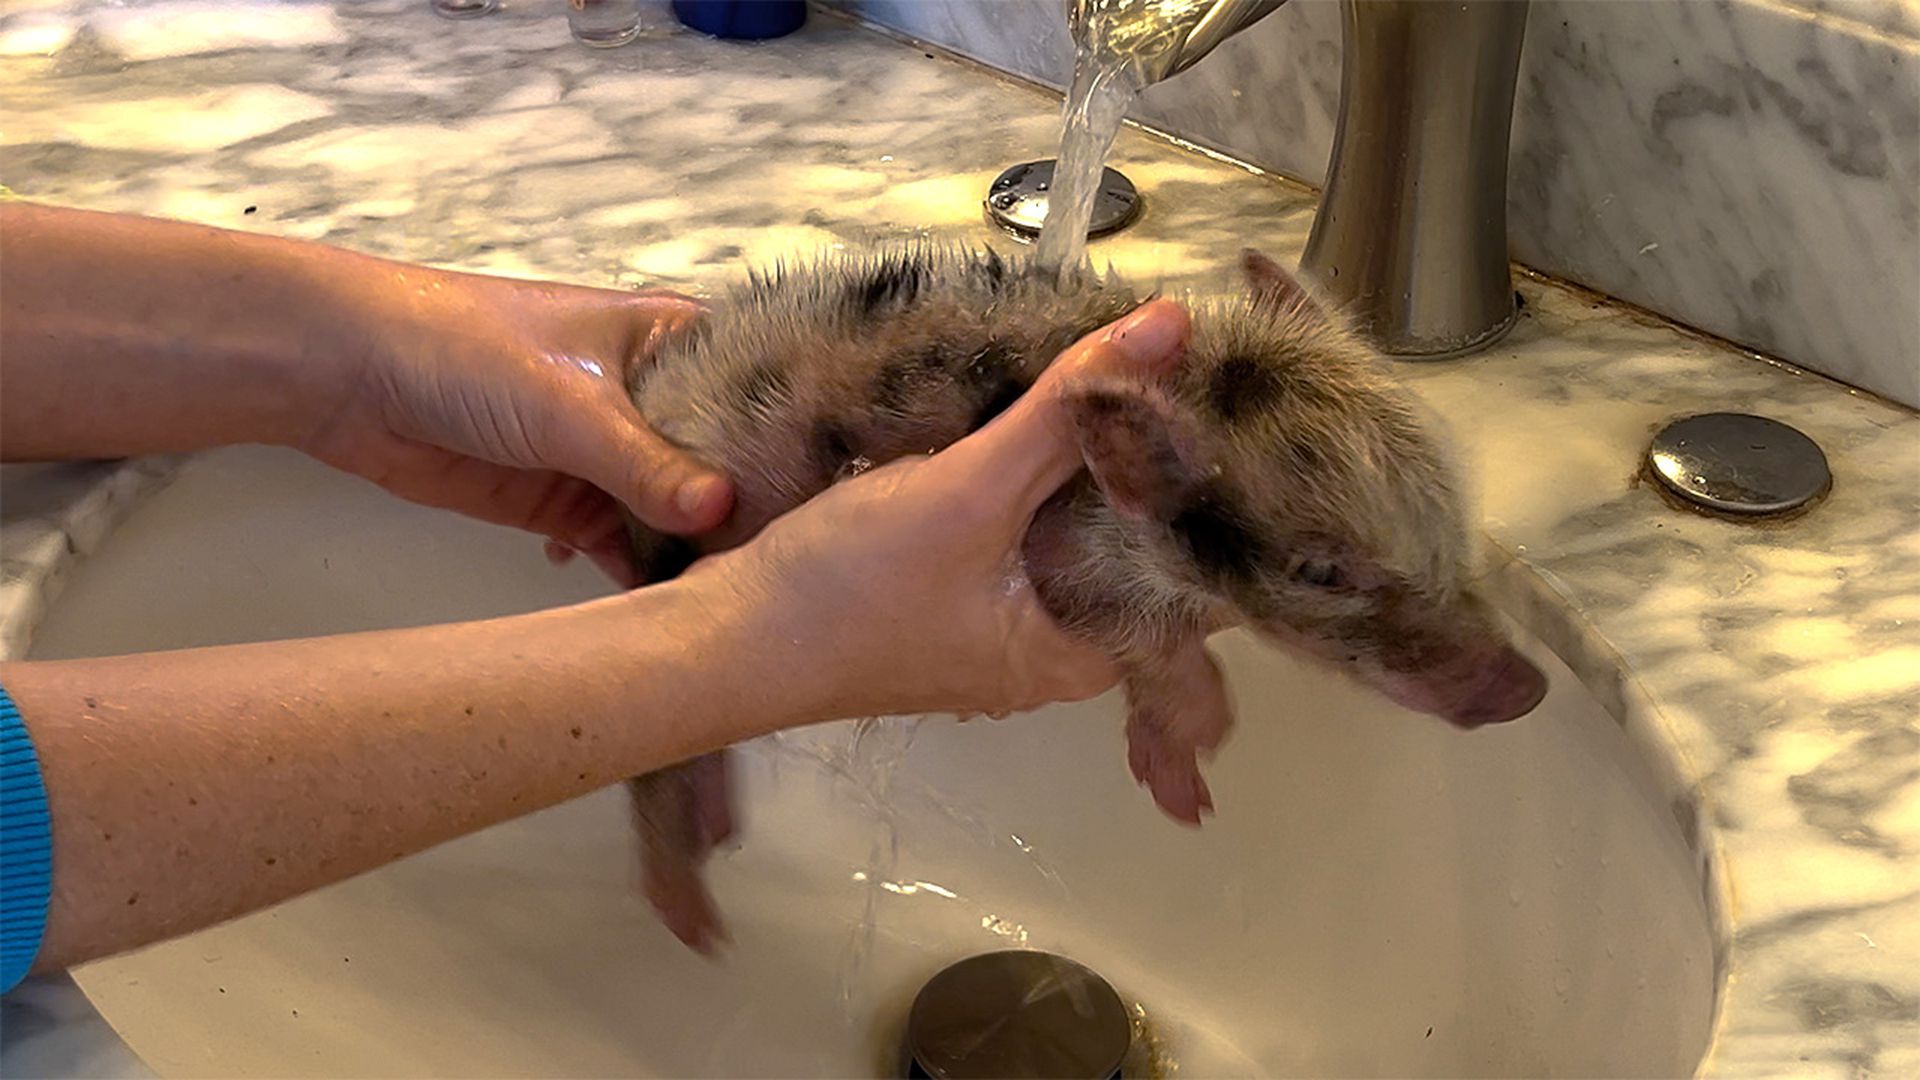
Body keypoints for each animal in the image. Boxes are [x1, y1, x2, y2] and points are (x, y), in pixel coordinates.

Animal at [616, 244, 1548, 953]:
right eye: (1320, 571)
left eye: (1449, 509)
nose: (1527, 688)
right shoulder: (1055, 555)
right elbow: (1154, 650)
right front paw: (1191, 790)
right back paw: (696, 923)